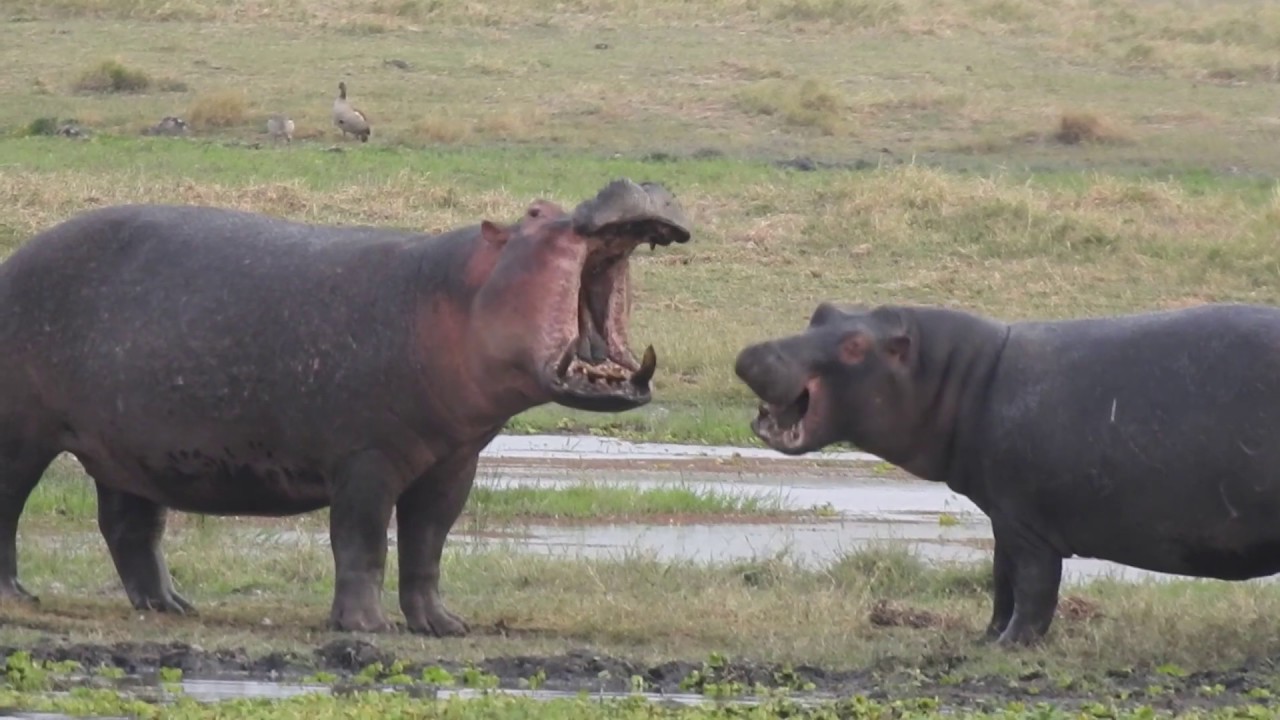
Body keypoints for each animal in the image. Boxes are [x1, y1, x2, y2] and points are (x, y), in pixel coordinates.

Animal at [0, 179, 690, 634]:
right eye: (536, 210)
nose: (637, 182)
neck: (453, 292)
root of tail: (15, 258)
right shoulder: (366, 459)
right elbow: (362, 543)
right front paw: (365, 627)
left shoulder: (453, 462)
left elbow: (427, 545)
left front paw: (443, 625)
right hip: (24, 433)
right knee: (11, 510)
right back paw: (19, 599)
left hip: (126, 444)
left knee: (130, 526)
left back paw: (172, 606)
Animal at [735, 301, 1280, 645]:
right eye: (820, 311)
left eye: (853, 345)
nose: (753, 351)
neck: (964, 374)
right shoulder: (1004, 518)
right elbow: (1002, 581)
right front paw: (986, 639)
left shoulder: (1029, 525)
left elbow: (1034, 588)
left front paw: (1011, 646)